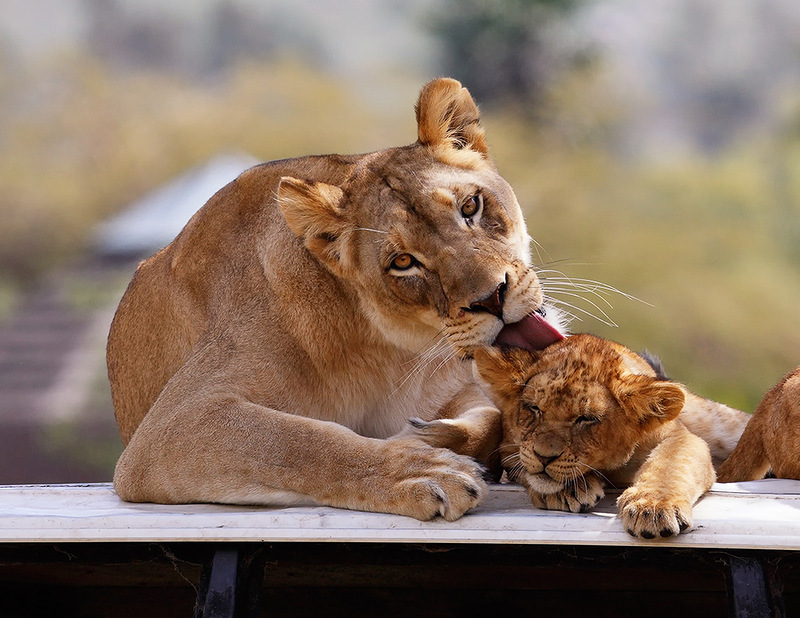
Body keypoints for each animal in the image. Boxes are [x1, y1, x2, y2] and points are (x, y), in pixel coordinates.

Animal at [106, 78, 566, 521]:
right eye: (403, 262)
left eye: (471, 206)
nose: (492, 298)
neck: (393, 351)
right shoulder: (173, 425)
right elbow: (298, 442)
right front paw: (421, 470)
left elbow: (490, 418)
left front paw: (430, 435)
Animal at [471, 334, 740, 538]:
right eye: (534, 408)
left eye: (586, 418)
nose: (544, 457)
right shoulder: (509, 448)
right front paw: (566, 490)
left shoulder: (682, 436)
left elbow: (672, 462)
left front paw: (652, 508)